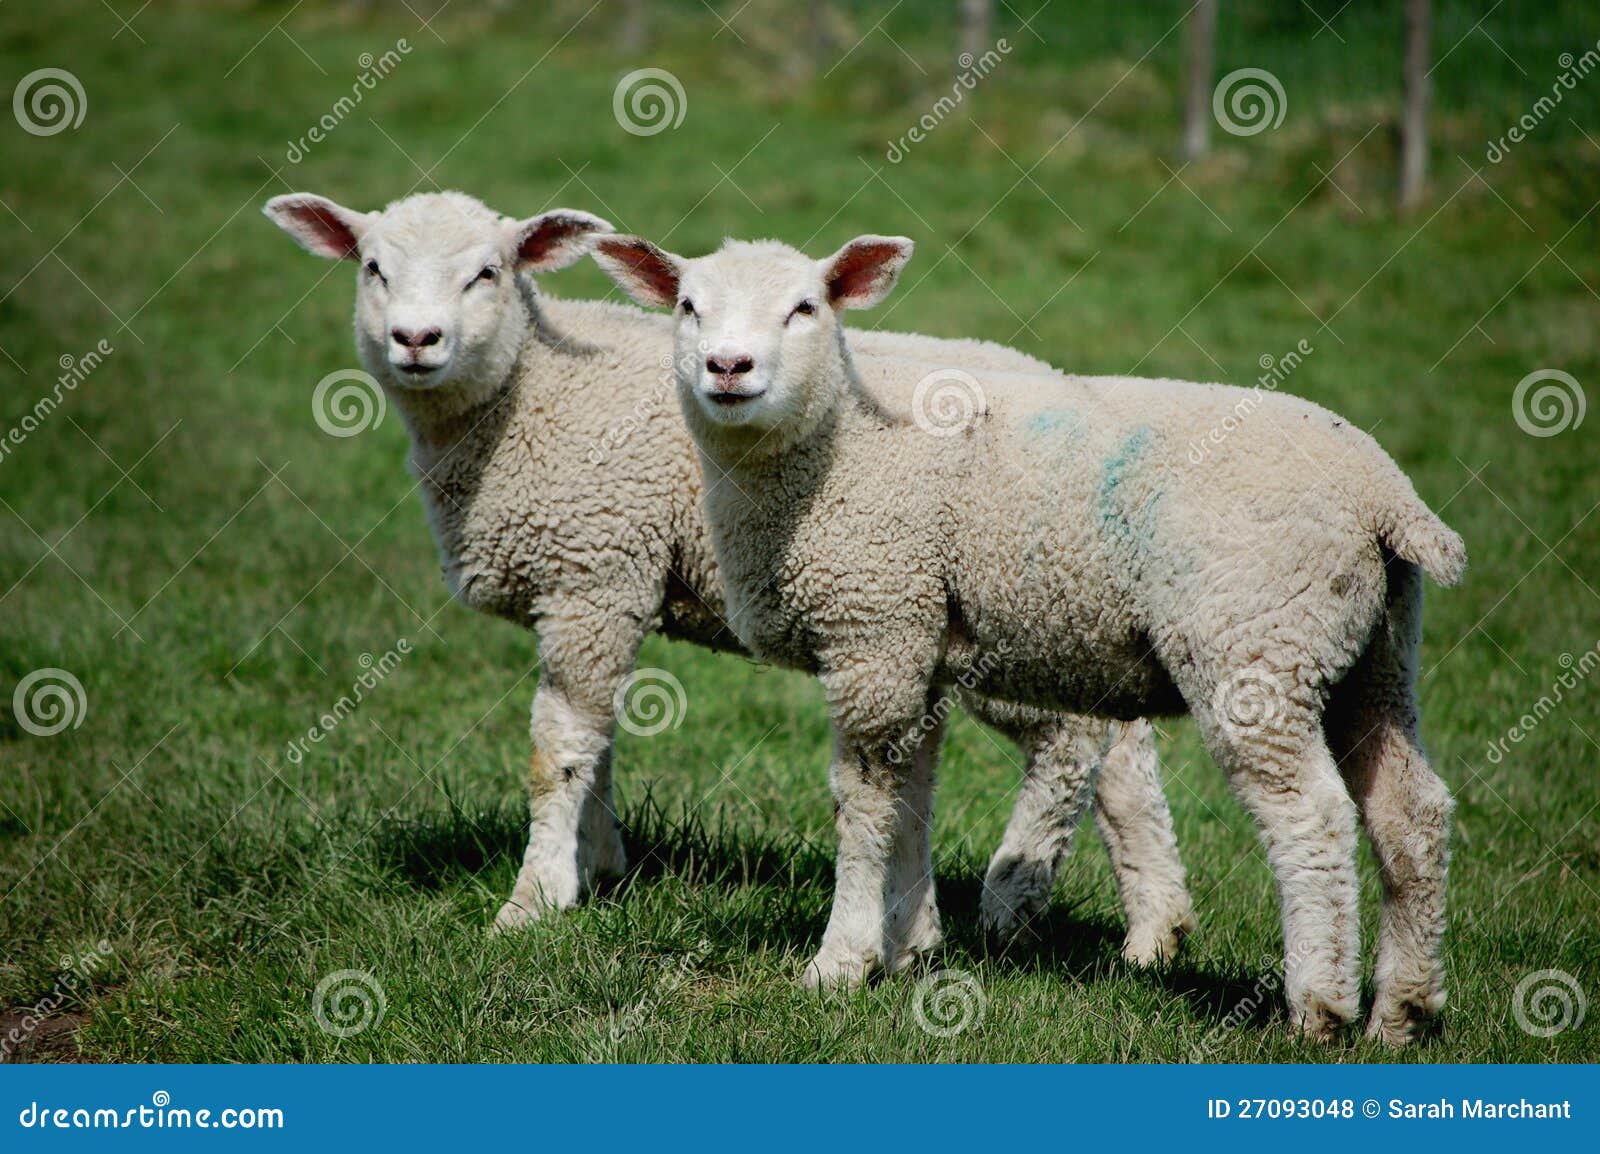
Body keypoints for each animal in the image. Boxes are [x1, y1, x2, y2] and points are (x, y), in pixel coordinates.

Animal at [261, 190, 1196, 966]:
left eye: (486, 272)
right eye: (373, 269)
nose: (415, 341)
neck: (528, 393)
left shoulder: (594, 571)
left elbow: (558, 748)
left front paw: (535, 900)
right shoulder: (603, 585)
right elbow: (598, 738)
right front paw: (600, 865)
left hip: (1013, 616)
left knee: (1072, 745)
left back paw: (1013, 902)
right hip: (1078, 608)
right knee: (1125, 752)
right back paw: (1154, 931)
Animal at [591, 230, 1465, 1044]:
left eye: (805, 308)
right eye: (687, 306)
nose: (727, 367)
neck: (835, 452)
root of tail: (1386, 497)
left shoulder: (875, 633)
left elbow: (863, 804)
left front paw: (840, 962)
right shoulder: (916, 644)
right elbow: (912, 800)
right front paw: (909, 950)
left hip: (1257, 643)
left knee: (1310, 817)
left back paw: (1318, 1008)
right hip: (1372, 652)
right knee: (1410, 812)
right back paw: (1402, 1012)